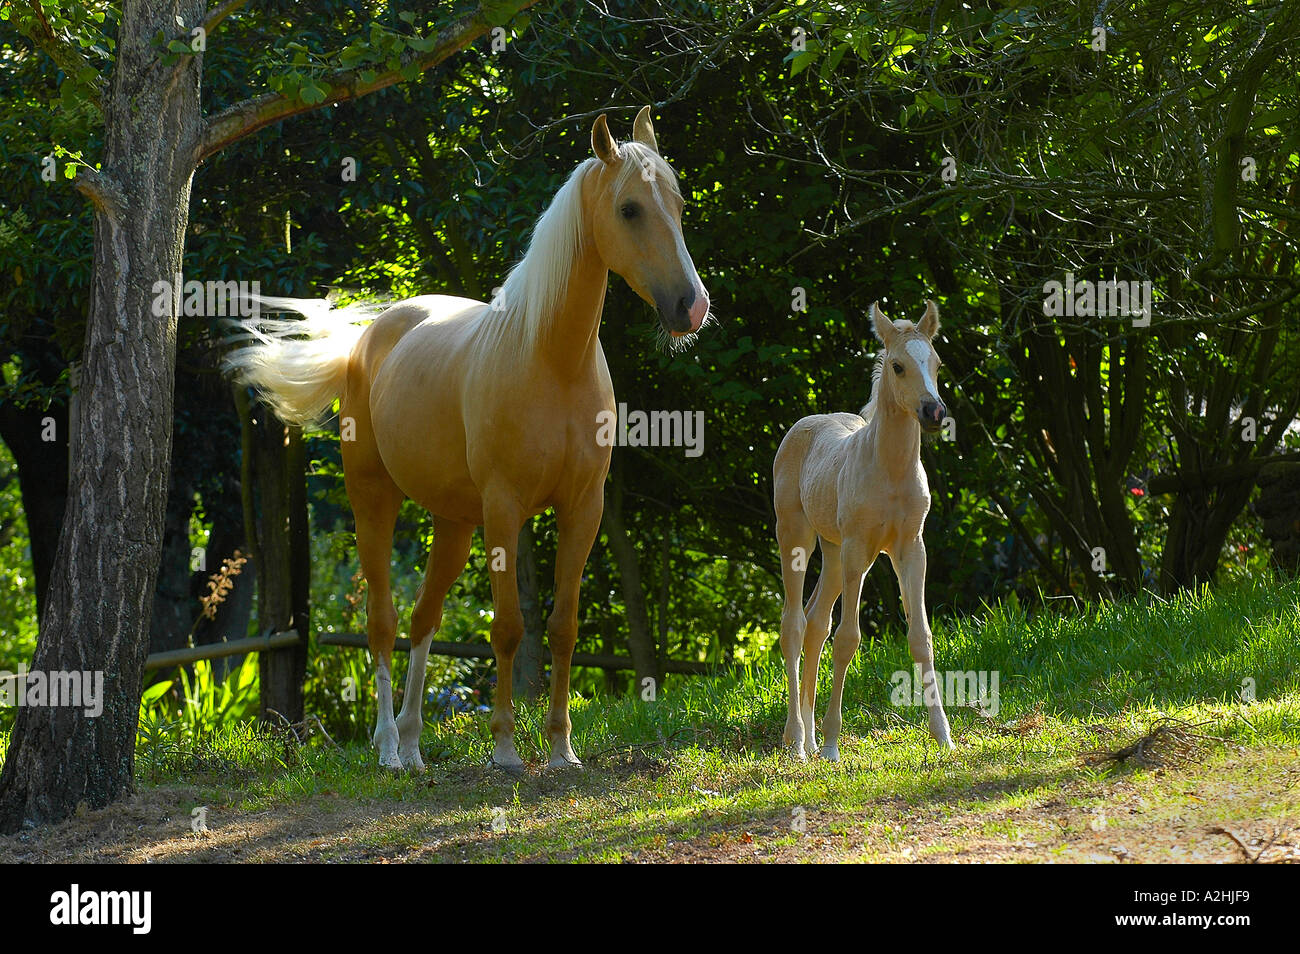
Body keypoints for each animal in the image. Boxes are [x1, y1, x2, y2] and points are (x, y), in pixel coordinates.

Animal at [225, 107, 709, 772]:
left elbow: (562, 628)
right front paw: (505, 749)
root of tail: (367, 340)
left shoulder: (583, 508)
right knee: (383, 623)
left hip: (453, 525)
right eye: (630, 208)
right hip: (373, 502)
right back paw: (388, 748)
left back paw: (412, 744)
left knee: (424, 619)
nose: (691, 307)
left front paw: (561, 749)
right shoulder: (505, 510)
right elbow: (507, 628)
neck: (552, 359)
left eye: (680, 204)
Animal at [772, 300, 954, 761]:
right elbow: (848, 638)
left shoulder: (911, 549)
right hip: (798, 538)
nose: (934, 412)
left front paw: (943, 735)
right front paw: (833, 743)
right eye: (898, 366)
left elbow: (921, 637)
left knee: (815, 621)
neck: (889, 470)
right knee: (793, 625)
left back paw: (808, 737)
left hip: (835, 551)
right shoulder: (859, 548)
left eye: (937, 363)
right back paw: (798, 741)